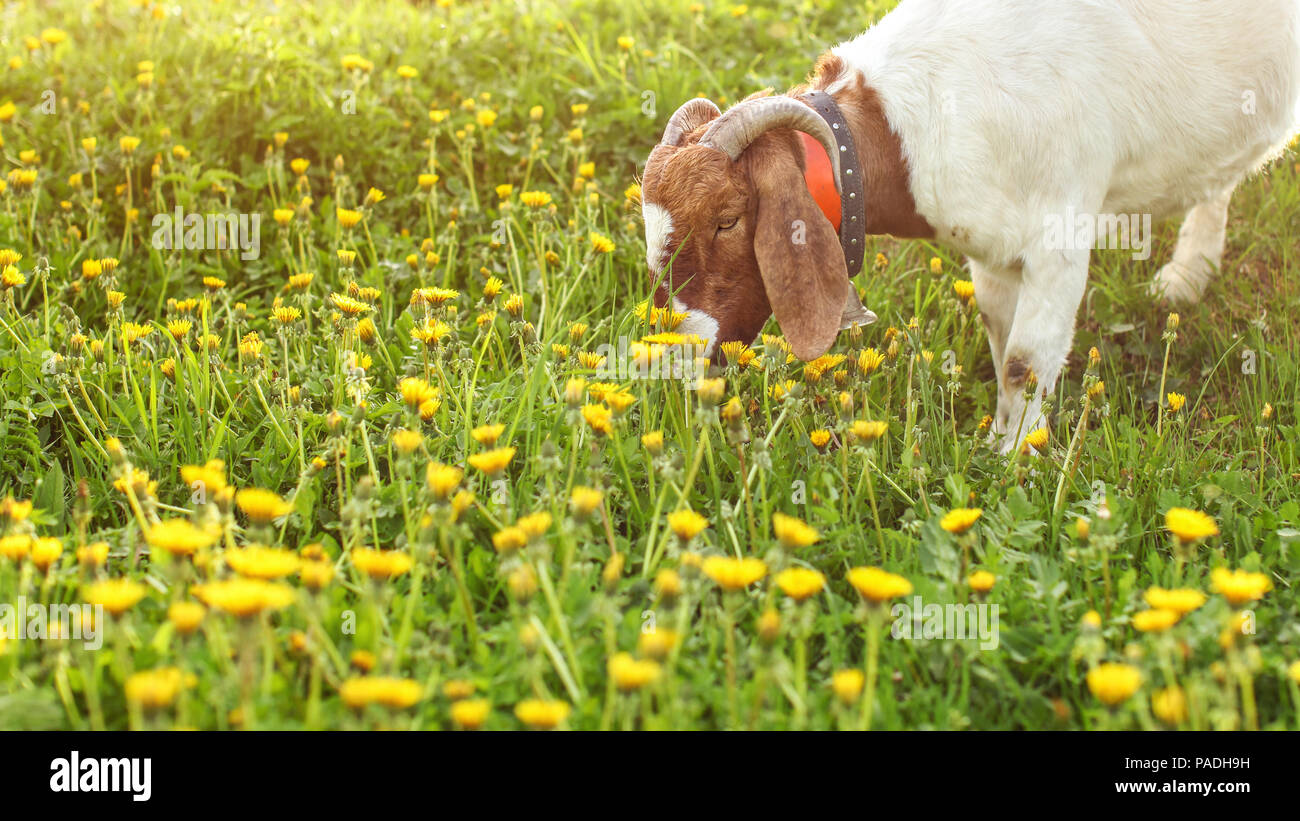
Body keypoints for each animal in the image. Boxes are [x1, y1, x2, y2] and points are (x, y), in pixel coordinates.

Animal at [640, 0, 1300, 451]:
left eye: (728, 221)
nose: (676, 358)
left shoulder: (1060, 238)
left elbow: (1025, 360)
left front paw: (1018, 463)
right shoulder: (992, 249)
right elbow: (1001, 338)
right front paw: (1001, 441)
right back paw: (1188, 278)